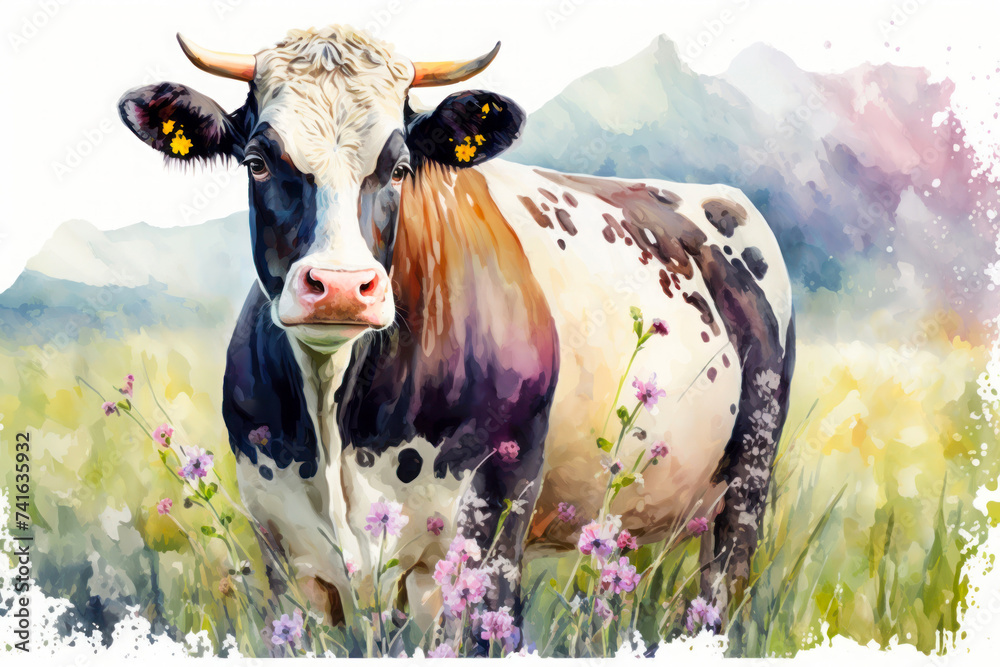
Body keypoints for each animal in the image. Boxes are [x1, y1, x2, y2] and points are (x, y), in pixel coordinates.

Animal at [118, 25, 794, 647]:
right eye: (257, 161)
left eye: (399, 167)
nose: (341, 287)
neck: (336, 418)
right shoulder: (286, 555)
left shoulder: (488, 525)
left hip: (745, 491)